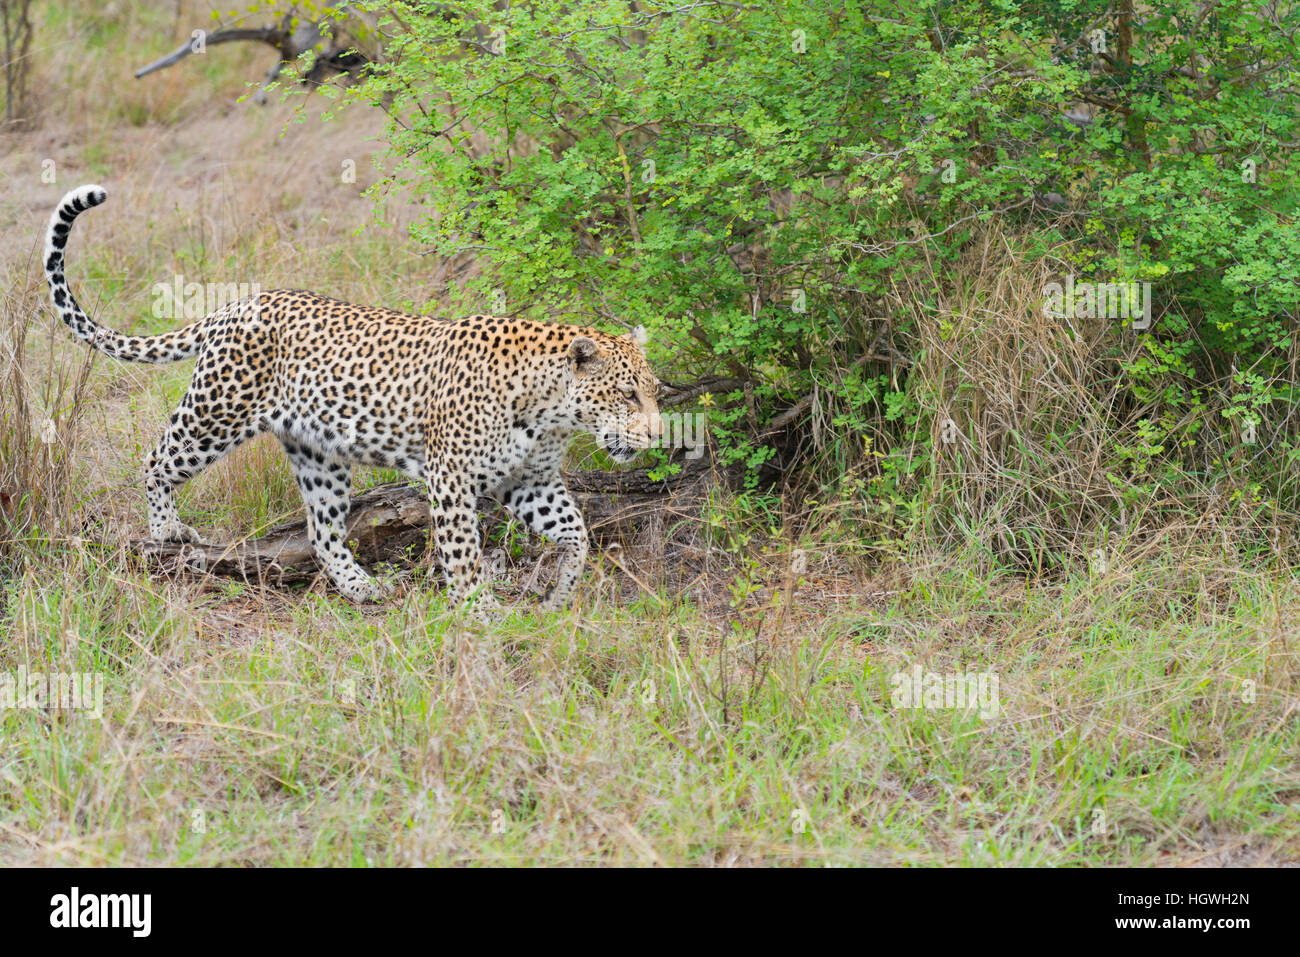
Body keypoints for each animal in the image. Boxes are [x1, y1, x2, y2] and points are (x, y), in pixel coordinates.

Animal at [43, 184, 661, 609]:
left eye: (654, 393)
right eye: (628, 394)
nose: (657, 433)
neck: (550, 411)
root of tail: (234, 305)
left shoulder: (529, 480)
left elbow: (578, 535)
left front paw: (559, 595)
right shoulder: (451, 479)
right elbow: (463, 556)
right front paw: (480, 615)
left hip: (318, 454)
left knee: (323, 532)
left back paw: (360, 586)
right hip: (215, 413)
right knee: (155, 460)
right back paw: (165, 531)